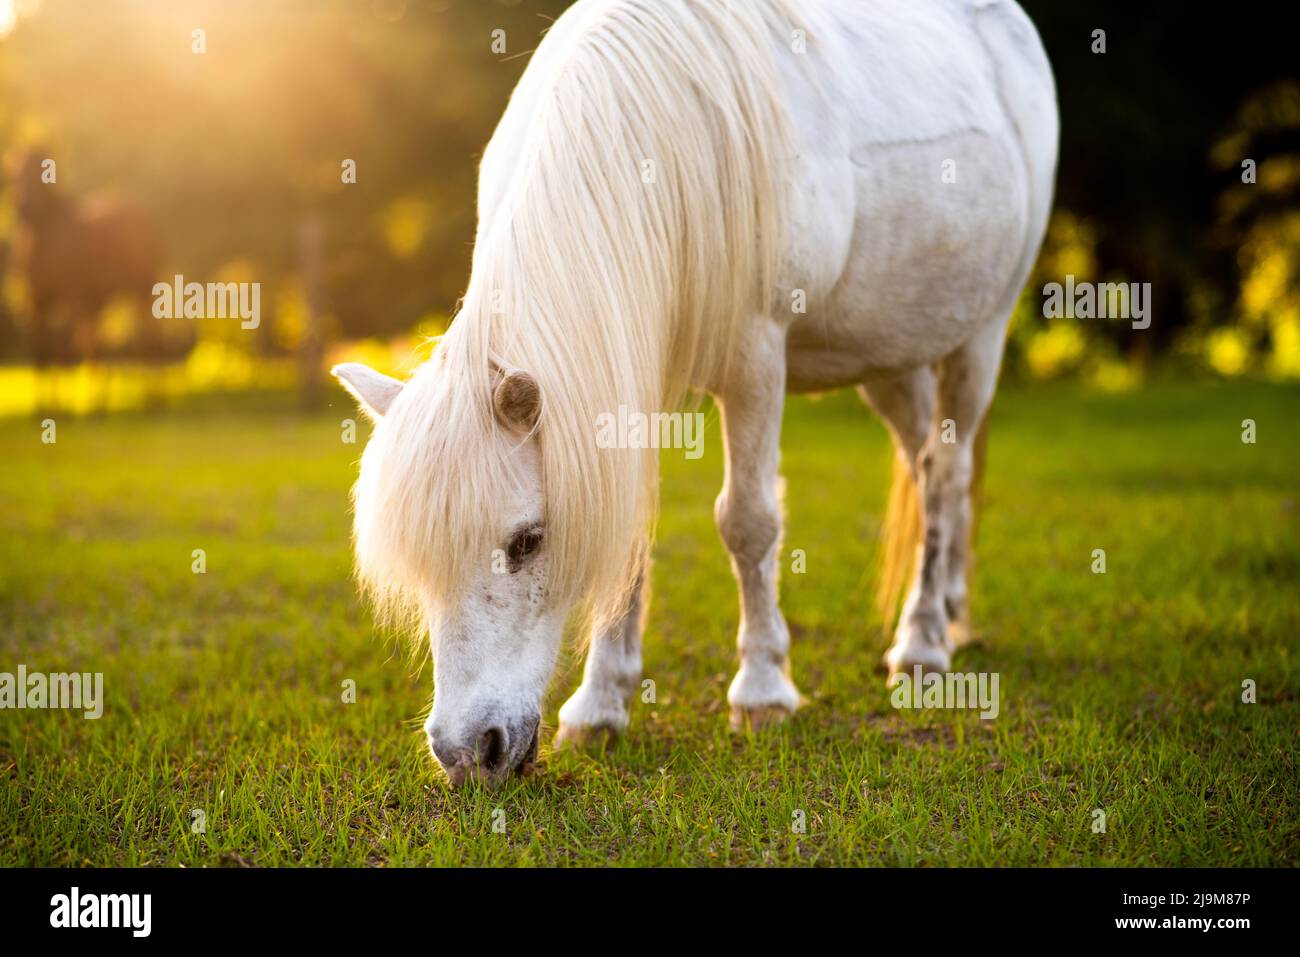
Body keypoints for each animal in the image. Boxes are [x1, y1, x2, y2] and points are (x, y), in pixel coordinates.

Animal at [333, 0, 1058, 786]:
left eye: (526, 542)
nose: (468, 753)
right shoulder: (633, 372)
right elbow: (629, 535)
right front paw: (601, 707)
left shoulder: (756, 356)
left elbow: (749, 521)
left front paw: (764, 692)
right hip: (895, 355)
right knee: (929, 470)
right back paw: (950, 609)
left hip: (982, 334)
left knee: (946, 472)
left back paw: (922, 643)